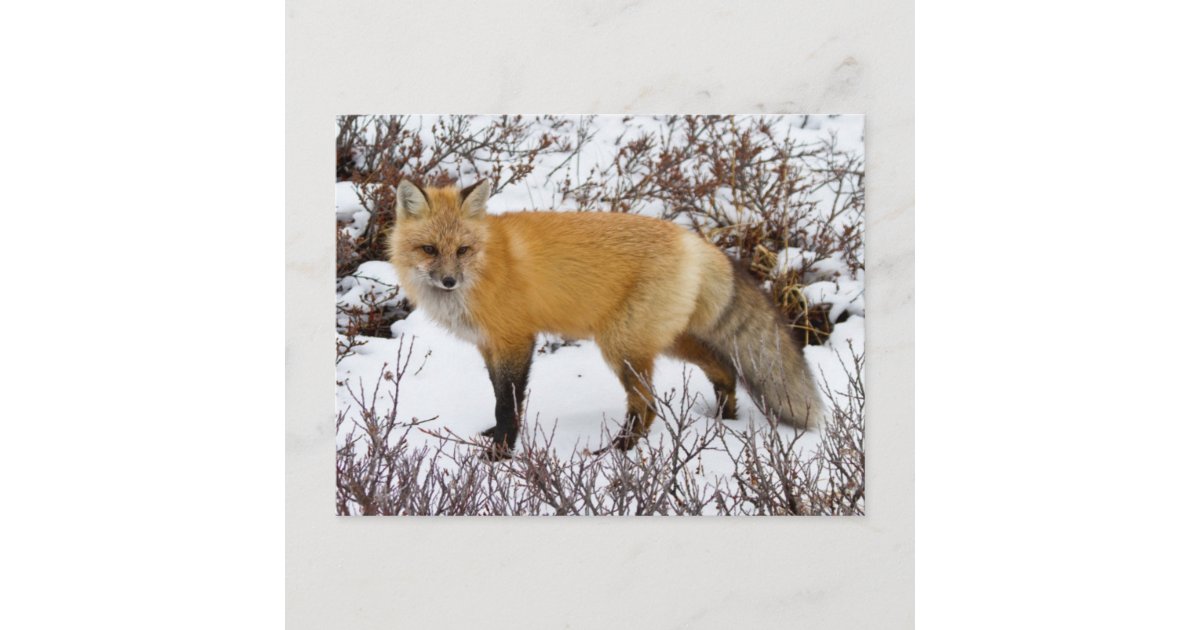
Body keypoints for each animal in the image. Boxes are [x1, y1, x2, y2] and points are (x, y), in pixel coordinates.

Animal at [387, 179, 826, 458]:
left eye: (462, 250)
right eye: (429, 249)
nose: (448, 281)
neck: (487, 267)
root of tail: (696, 241)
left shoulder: (516, 340)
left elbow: (508, 403)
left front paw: (501, 453)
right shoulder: (489, 345)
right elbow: (499, 396)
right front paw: (495, 438)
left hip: (622, 347)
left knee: (647, 405)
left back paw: (620, 451)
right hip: (663, 340)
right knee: (722, 367)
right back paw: (724, 417)